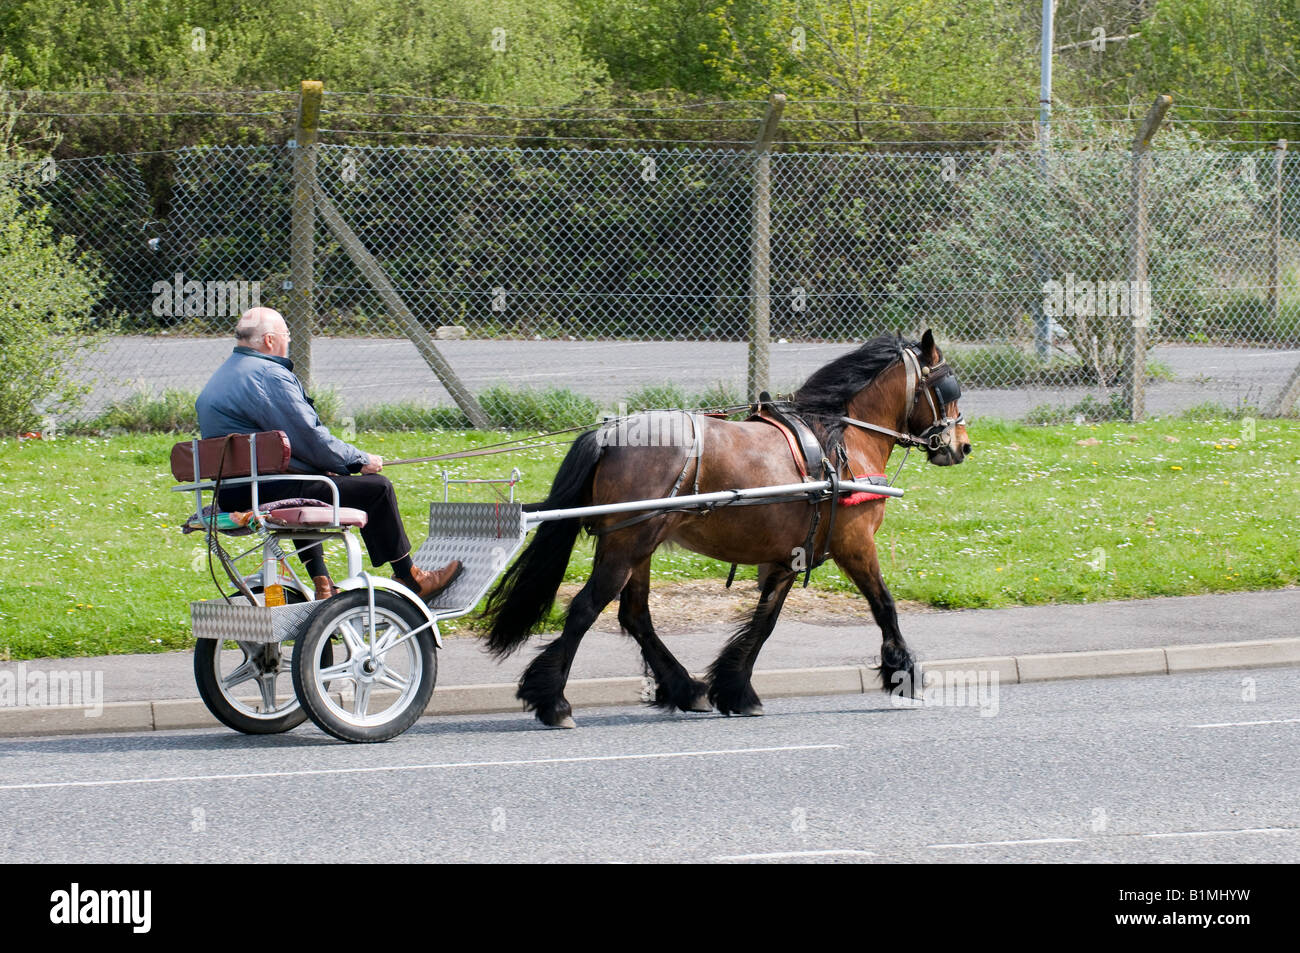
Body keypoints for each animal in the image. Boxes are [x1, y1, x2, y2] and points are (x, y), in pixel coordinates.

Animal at [481, 329, 970, 727]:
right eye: (948, 388)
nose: (962, 446)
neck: (840, 437)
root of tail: (612, 432)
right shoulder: (855, 543)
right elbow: (884, 605)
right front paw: (903, 673)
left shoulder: (790, 556)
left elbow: (763, 622)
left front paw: (735, 689)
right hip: (629, 542)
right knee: (586, 609)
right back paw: (553, 702)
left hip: (637, 543)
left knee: (634, 615)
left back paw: (685, 689)